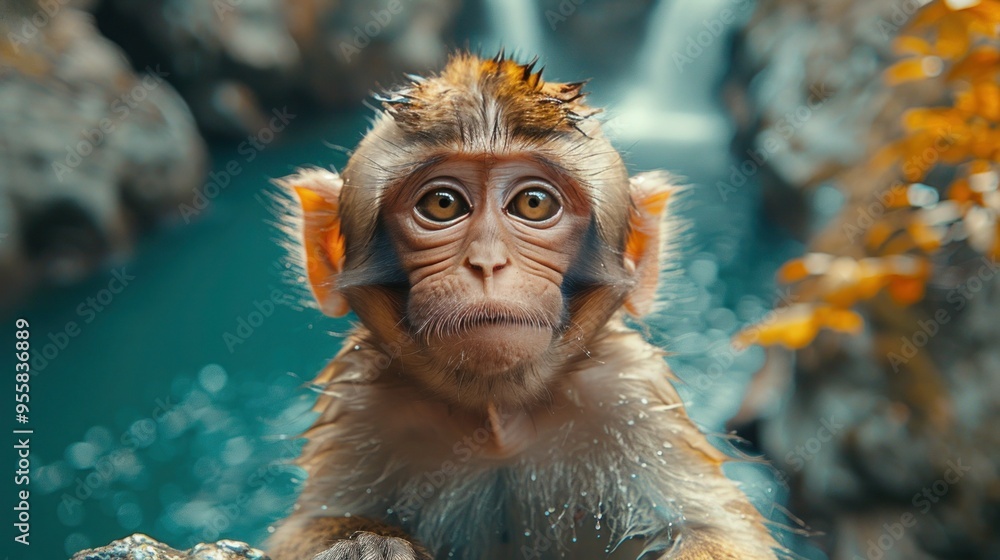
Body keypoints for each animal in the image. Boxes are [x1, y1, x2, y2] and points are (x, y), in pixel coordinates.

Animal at [267, 52, 785, 560]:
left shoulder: (628, 394)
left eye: (533, 203)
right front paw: (368, 544)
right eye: (442, 204)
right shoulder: (365, 404)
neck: (497, 421)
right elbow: (304, 527)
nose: (487, 262)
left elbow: (715, 529)